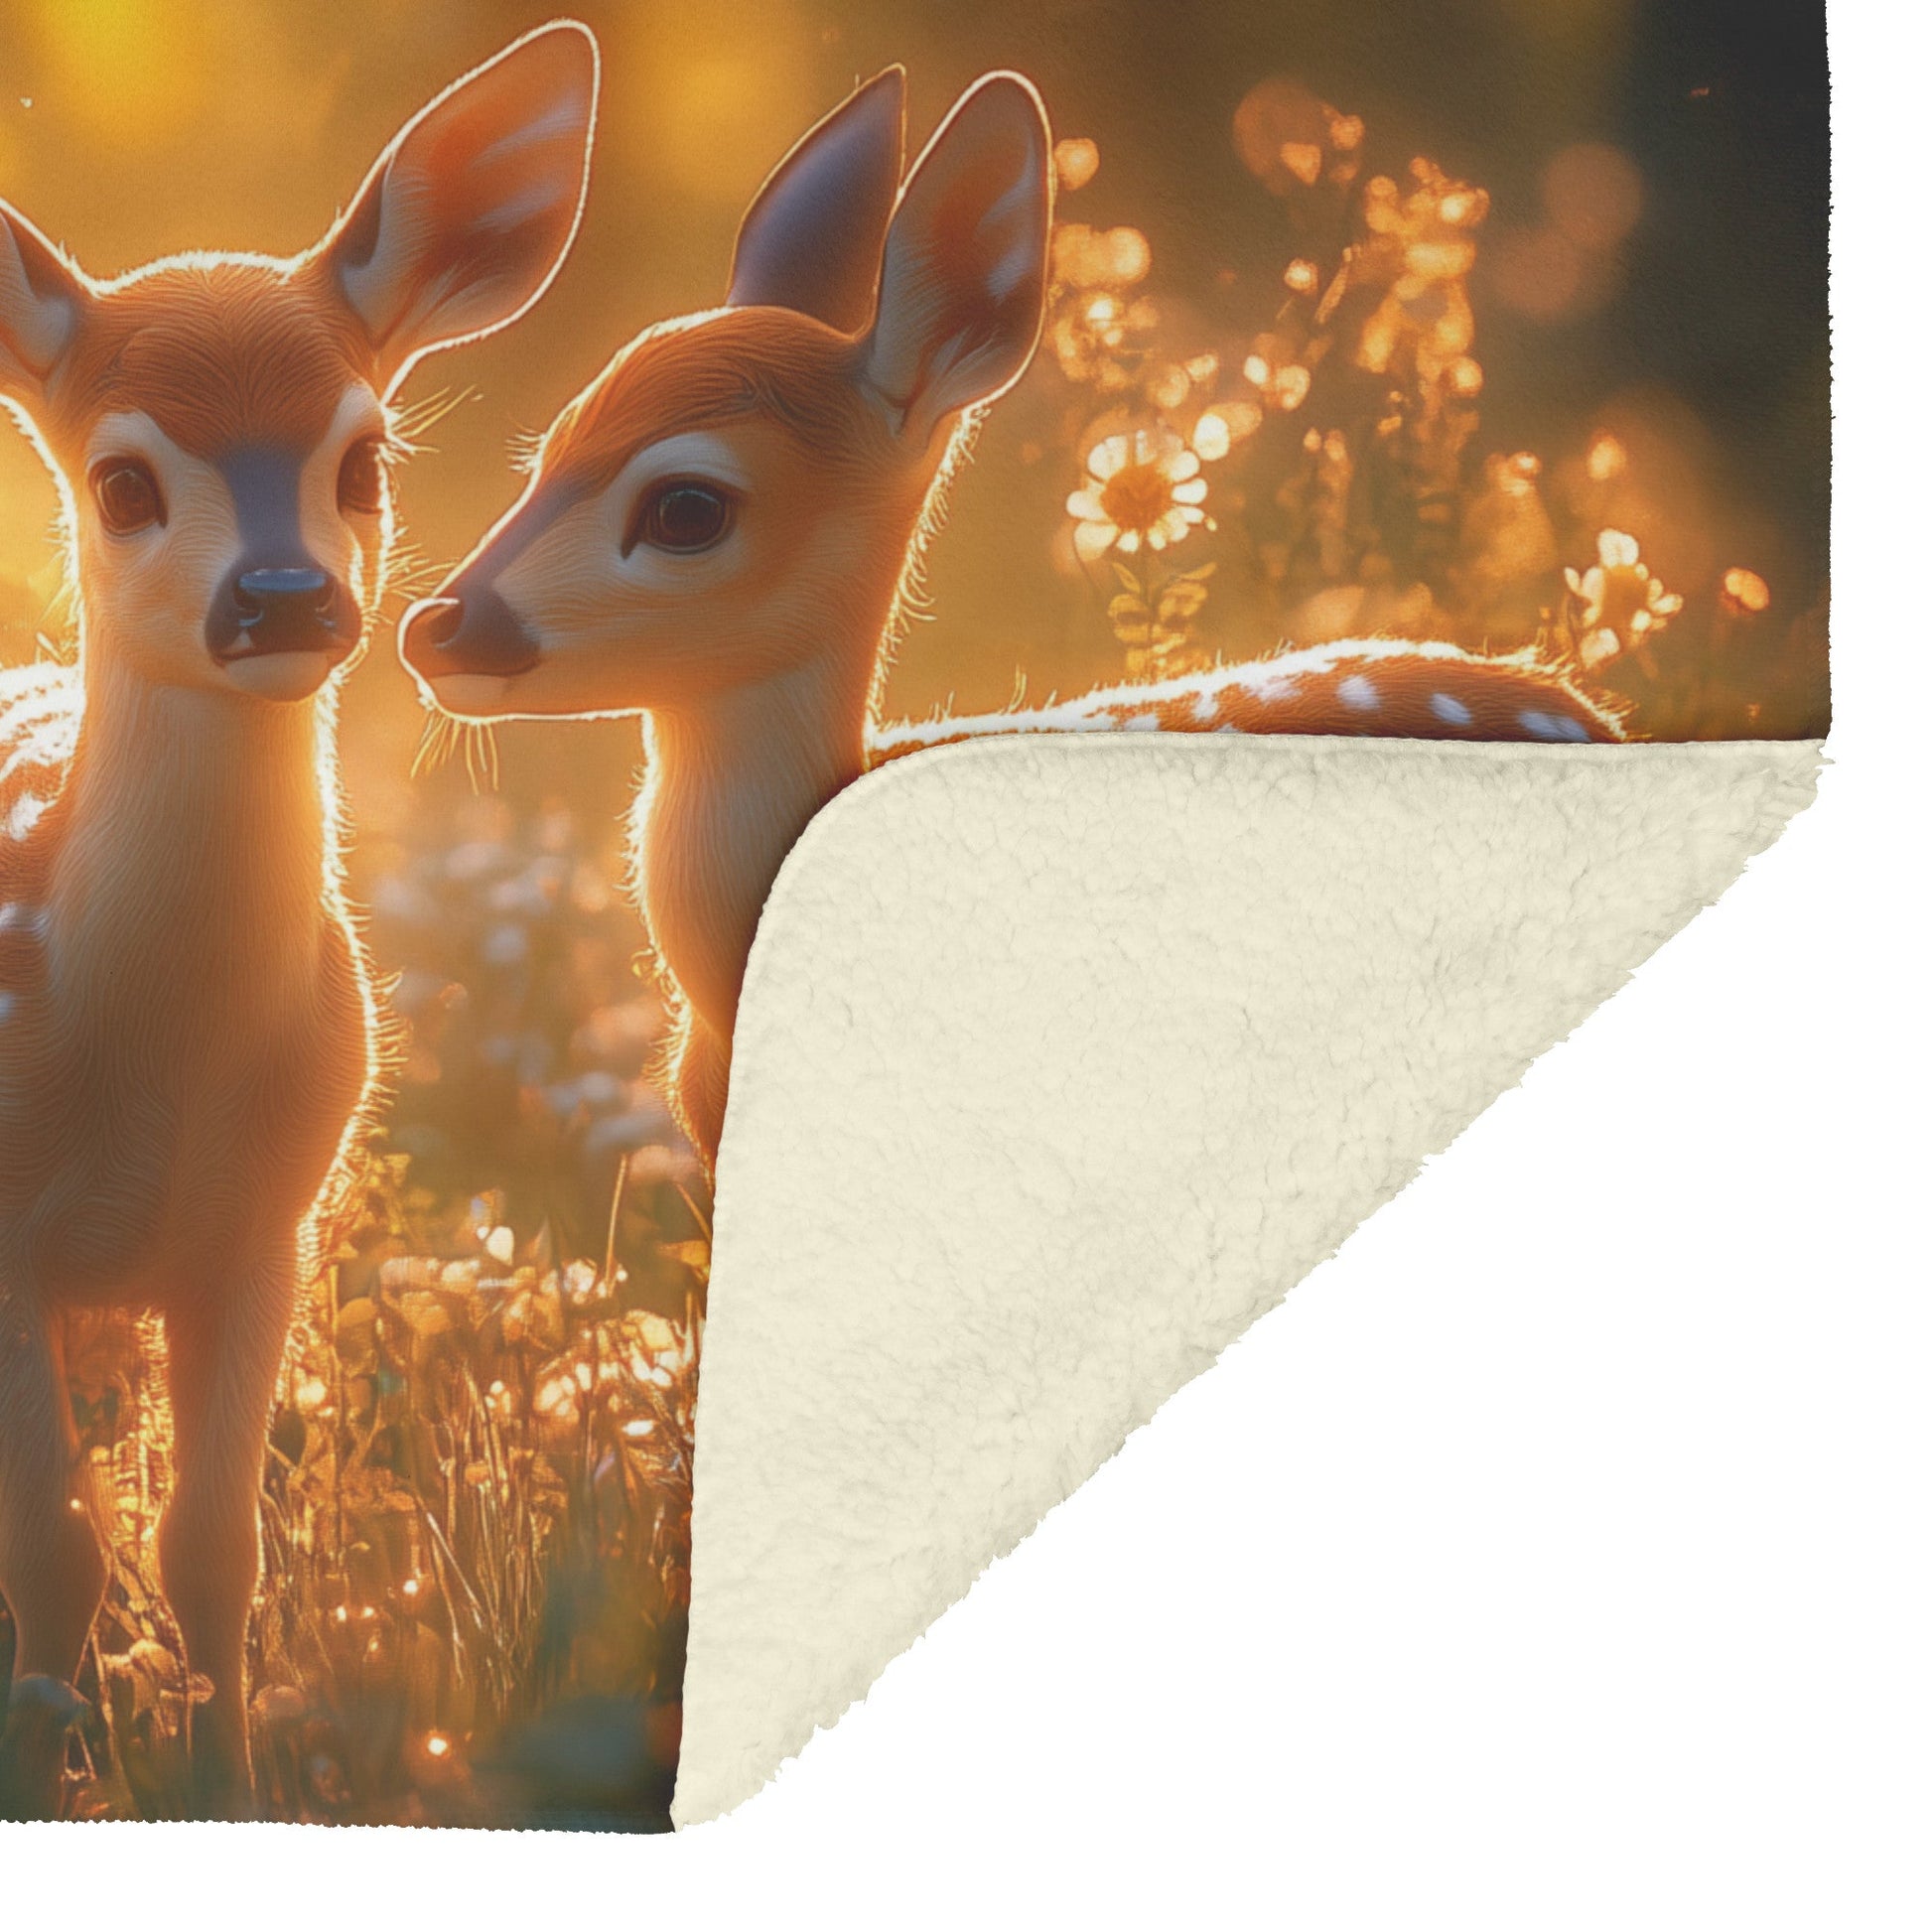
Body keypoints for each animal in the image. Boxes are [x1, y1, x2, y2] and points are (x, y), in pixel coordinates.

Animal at [0, 22, 599, 1818]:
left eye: (363, 458)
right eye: (125, 479)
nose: (280, 597)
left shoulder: (262, 1228)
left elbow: (208, 1554)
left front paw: (227, 1796)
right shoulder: (4, 1236)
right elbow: (55, 1552)